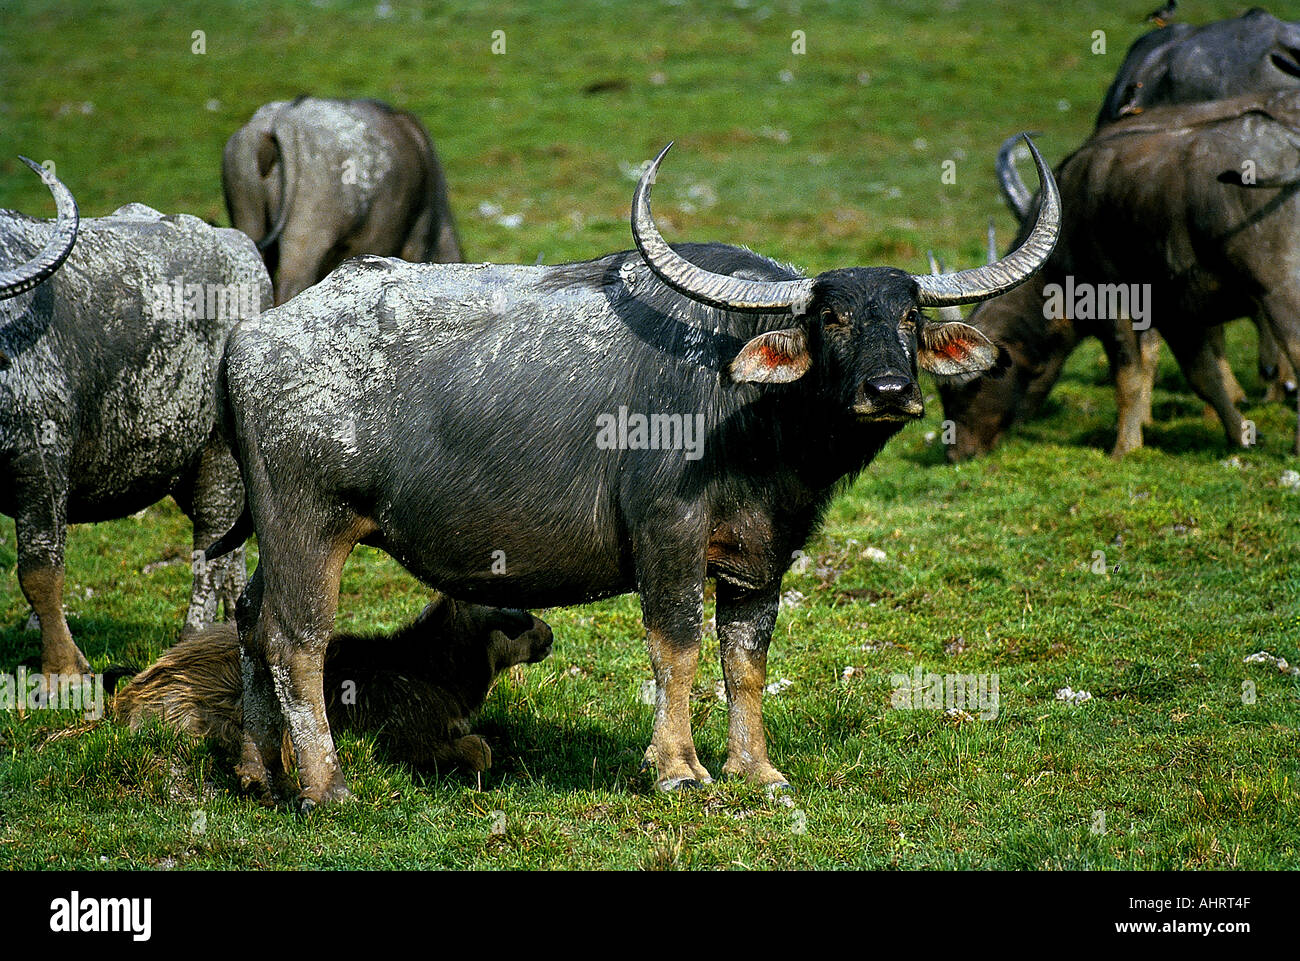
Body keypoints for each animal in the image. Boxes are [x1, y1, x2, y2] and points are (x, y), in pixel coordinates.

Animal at [208, 140, 1060, 809]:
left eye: (910, 316)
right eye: (832, 317)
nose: (888, 391)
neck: (745, 407)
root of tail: (252, 336)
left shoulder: (759, 555)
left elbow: (746, 660)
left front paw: (757, 769)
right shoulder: (668, 534)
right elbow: (676, 646)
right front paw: (679, 768)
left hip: (275, 530)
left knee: (248, 620)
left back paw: (259, 771)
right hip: (307, 521)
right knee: (295, 638)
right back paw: (326, 786)